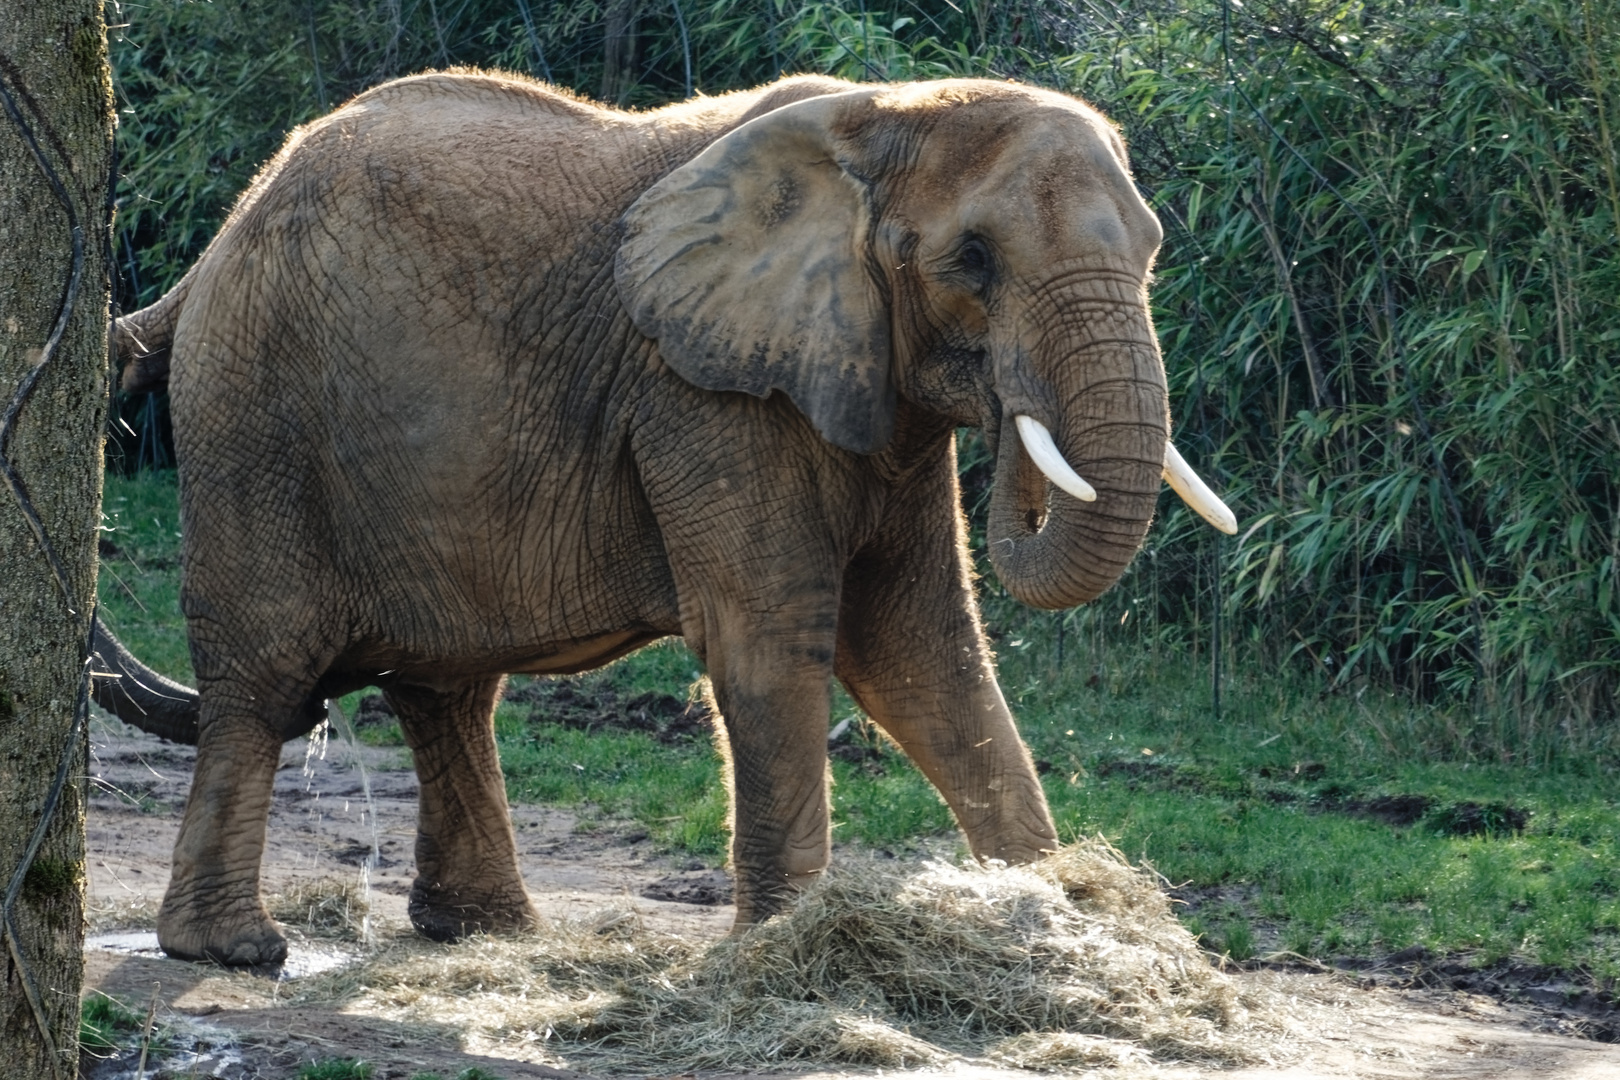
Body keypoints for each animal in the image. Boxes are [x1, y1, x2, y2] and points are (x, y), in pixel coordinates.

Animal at [93, 70, 1236, 967]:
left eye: (1153, 249)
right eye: (975, 263)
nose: (1012, 421)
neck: (883, 120)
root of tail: (217, 244)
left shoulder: (870, 387)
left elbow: (922, 651)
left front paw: (1060, 914)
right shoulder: (705, 394)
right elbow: (773, 641)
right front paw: (780, 955)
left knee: (447, 688)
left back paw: (490, 932)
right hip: (255, 412)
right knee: (268, 674)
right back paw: (233, 949)